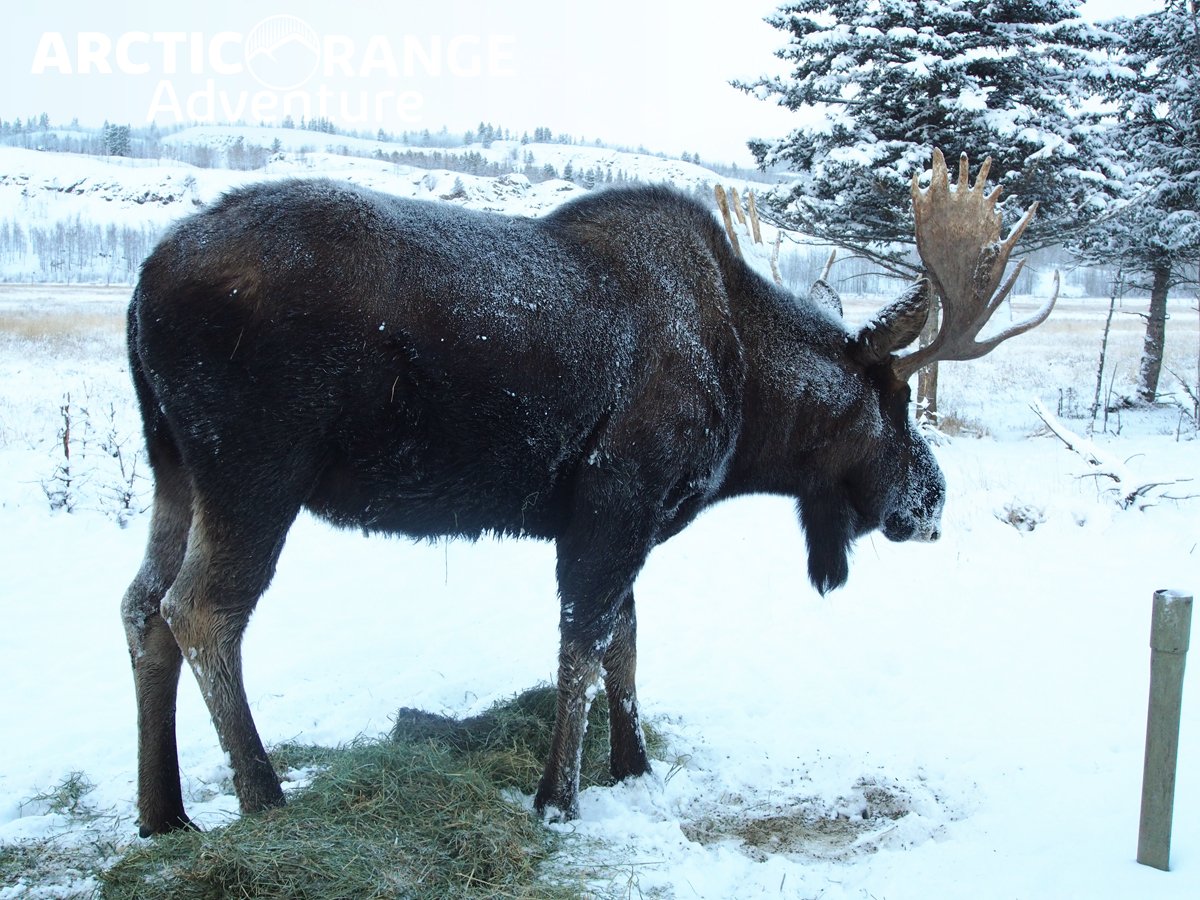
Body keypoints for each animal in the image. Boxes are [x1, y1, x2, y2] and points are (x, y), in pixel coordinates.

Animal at [121, 148, 1055, 835]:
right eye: (893, 405)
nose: (933, 503)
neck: (749, 405)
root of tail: (139, 289)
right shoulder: (616, 495)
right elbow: (584, 643)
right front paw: (557, 798)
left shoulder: (627, 520)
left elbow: (625, 644)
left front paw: (634, 766)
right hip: (255, 469)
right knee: (200, 609)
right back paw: (262, 798)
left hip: (172, 466)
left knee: (139, 606)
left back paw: (164, 814)